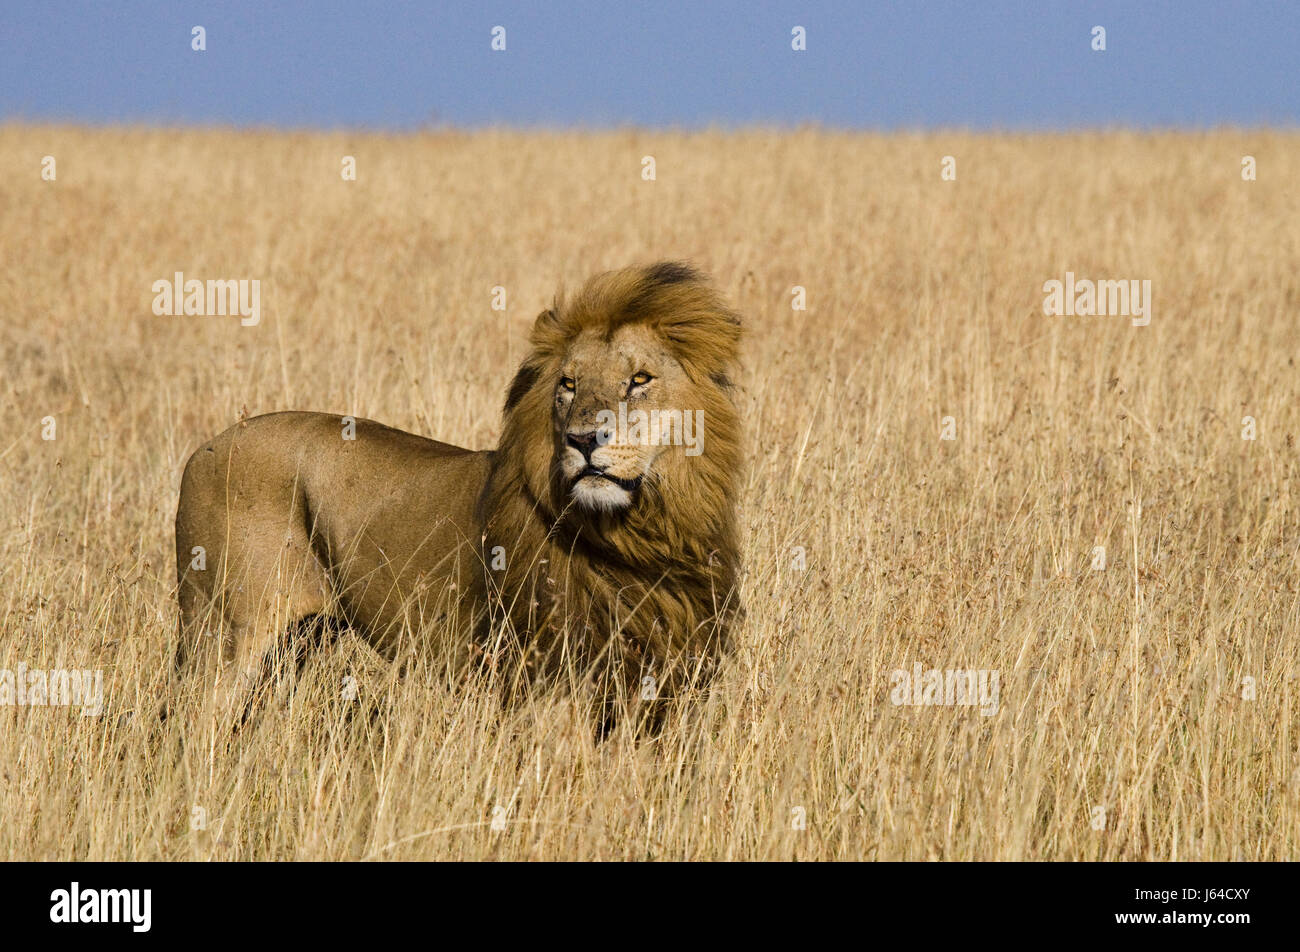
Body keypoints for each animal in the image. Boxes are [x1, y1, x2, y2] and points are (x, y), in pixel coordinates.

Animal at [173, 261, 744, 733]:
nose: (583, 439)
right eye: (568, 384)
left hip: (296, 640)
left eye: (639, 379)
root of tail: (204, 449)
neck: (639, 536)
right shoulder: (547, 680)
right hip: (224, 633)